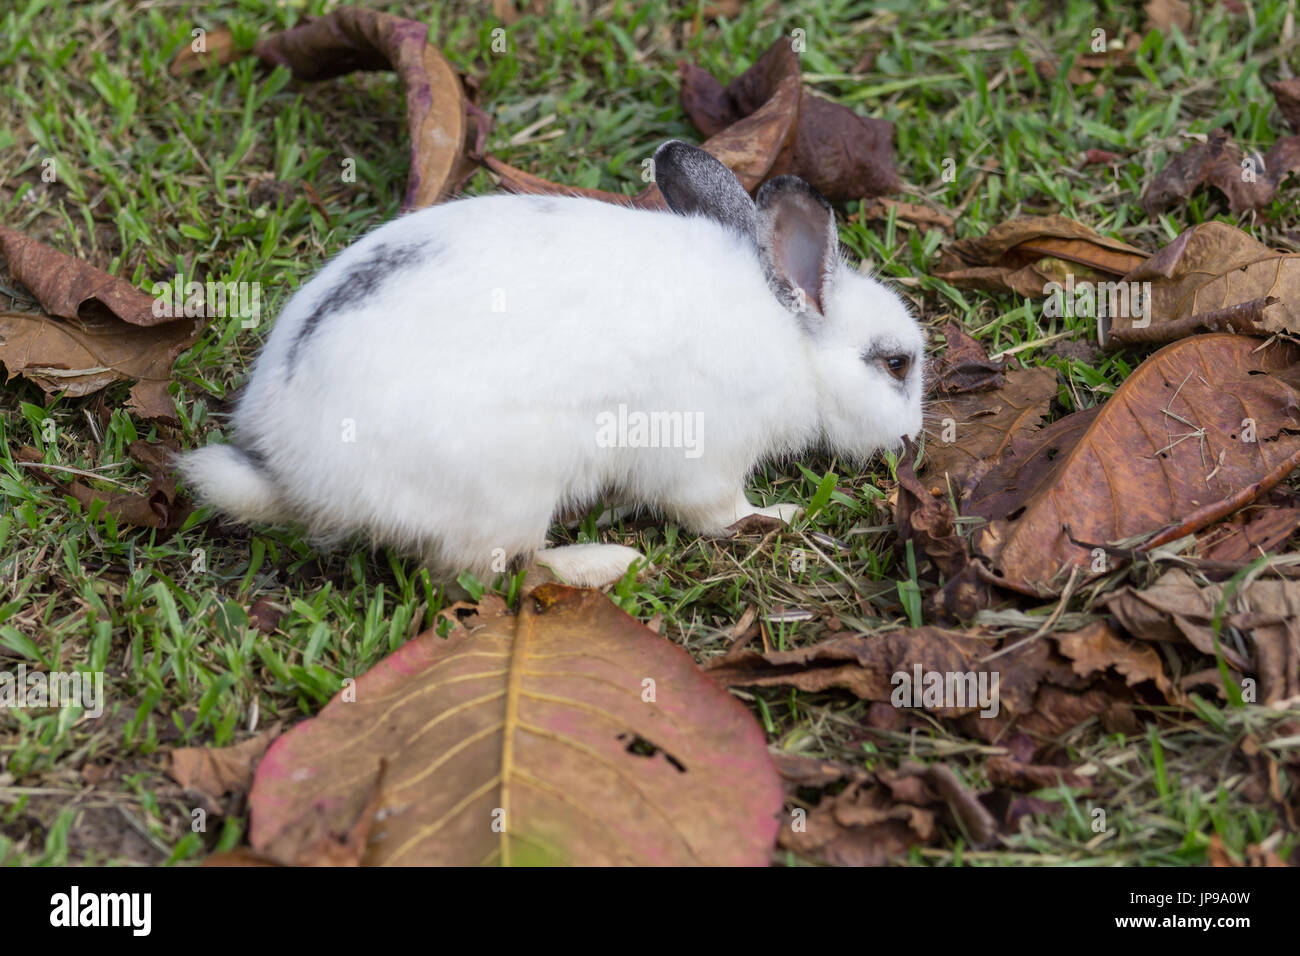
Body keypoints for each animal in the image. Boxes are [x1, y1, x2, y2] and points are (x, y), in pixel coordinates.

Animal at [178, 141, 925, 588]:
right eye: (894, 363)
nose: (913, 437)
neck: (792, 338)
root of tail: (297, 477)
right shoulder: (706, 458)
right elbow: (717, 514)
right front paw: (781, 515)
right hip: (511, 494)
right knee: (490, 571)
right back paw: (605, 562)